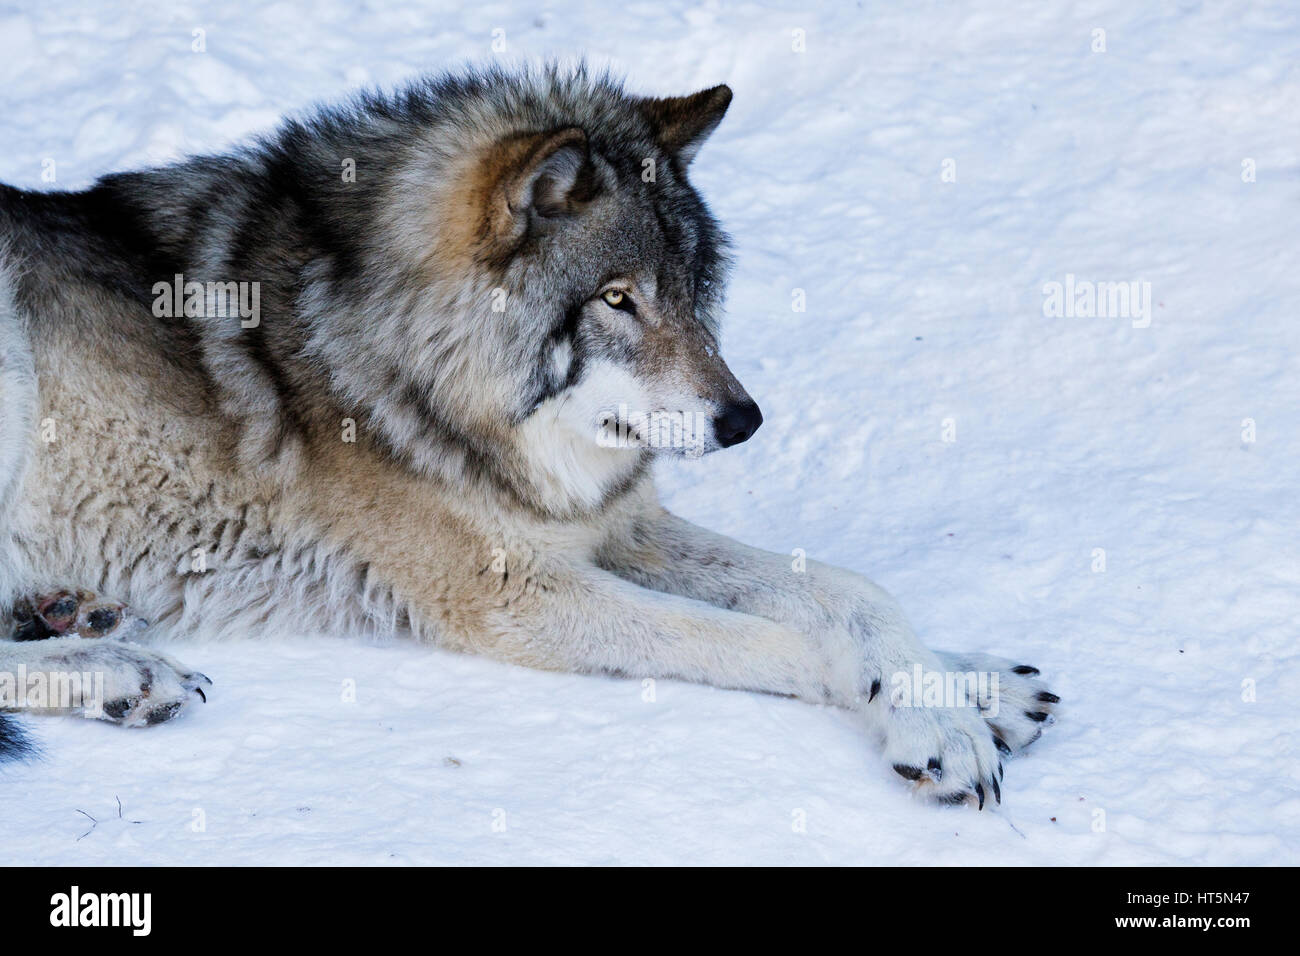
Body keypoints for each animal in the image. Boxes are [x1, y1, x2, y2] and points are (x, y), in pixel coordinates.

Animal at [0, 66, 1055, 805]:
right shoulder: (515, 593)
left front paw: (968, 684)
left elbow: (846, 590)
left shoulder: (611, 526)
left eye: (691, 291)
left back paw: (76, 618)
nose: (743, 421)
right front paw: (934, 717)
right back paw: (118, 669)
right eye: (617, 300)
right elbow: (766, 636)